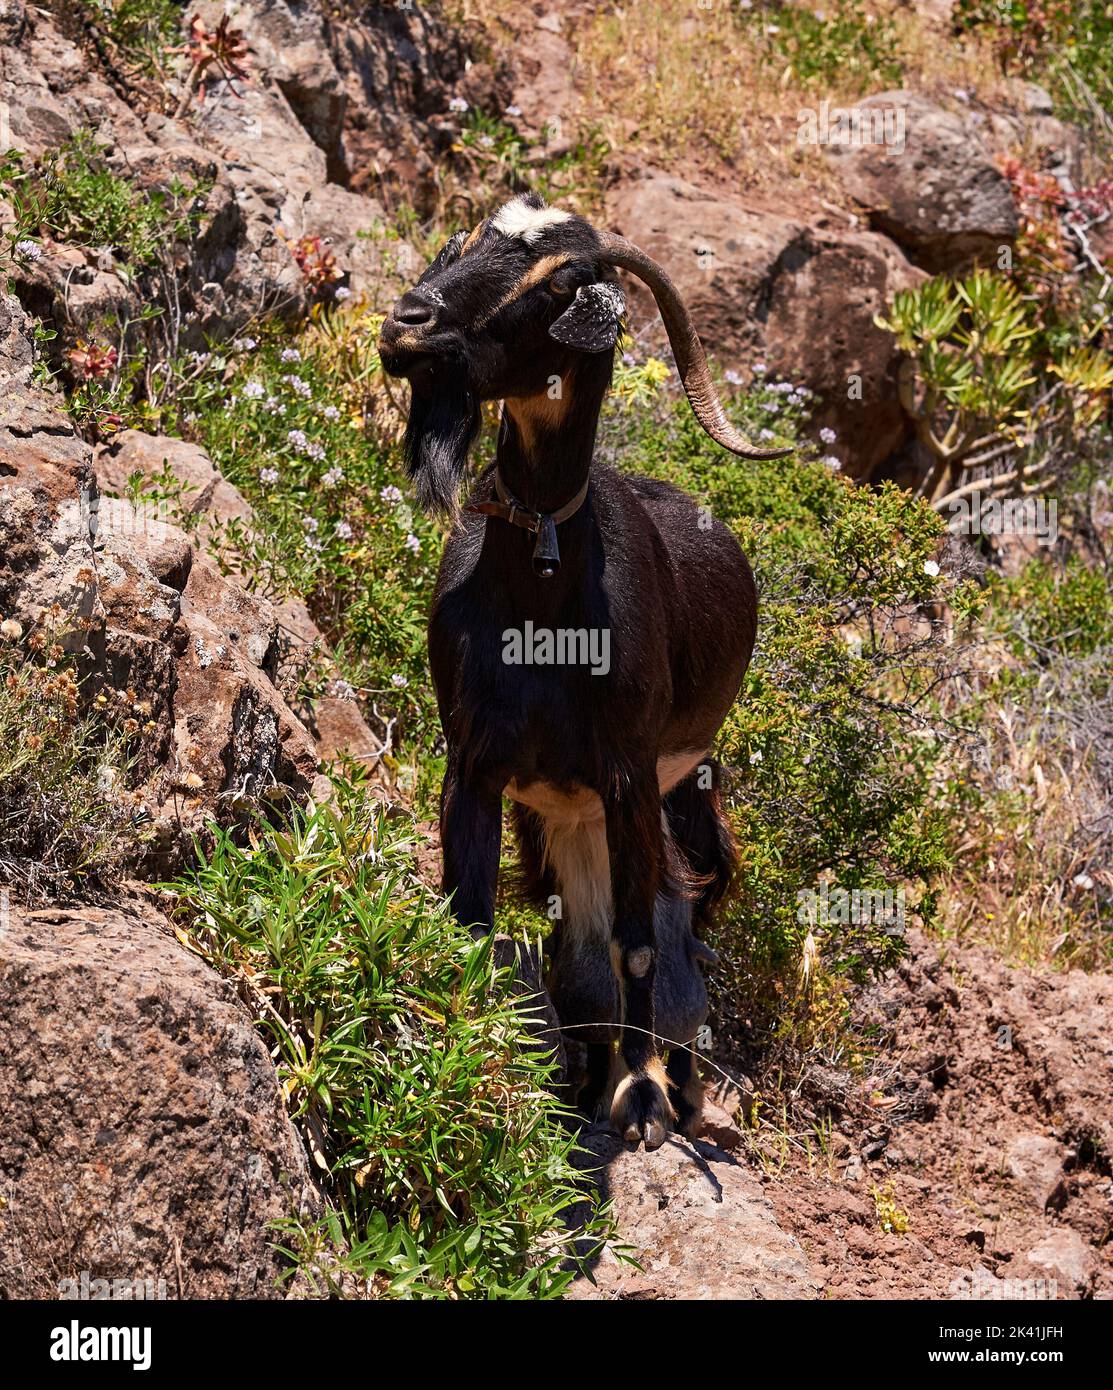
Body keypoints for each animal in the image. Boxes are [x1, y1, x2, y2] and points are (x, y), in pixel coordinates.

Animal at [379, 193, 788, 1149]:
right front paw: (464, 1046)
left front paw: (639, 1099)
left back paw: (672, 1089)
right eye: (470, 239)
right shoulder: (472, 762)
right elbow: (470, 916)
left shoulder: (628, 774)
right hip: (567, 820)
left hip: (677, 798)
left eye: (561, 279)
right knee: (583, 950)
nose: (407, 323)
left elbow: (637, 943)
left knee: (674, 937)